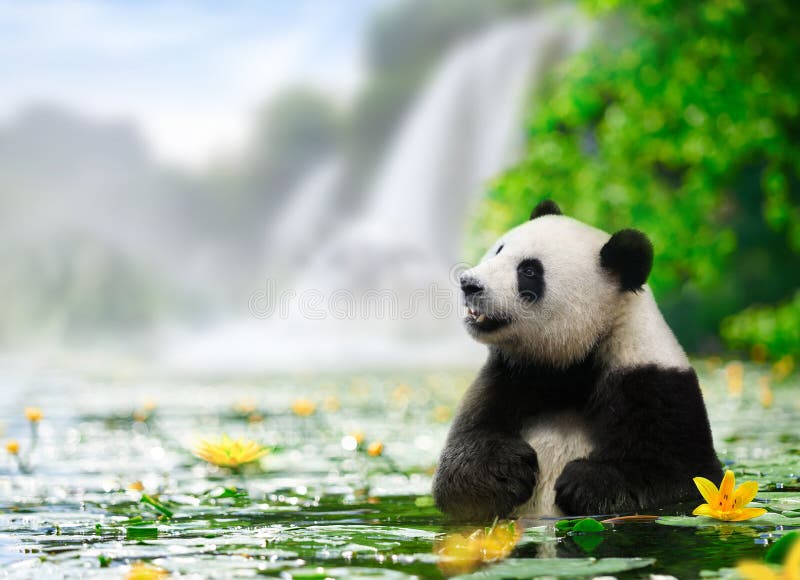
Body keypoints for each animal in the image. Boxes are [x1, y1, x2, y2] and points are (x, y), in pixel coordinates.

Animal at [433, 200, 722, 520]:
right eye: (499, 249)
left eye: (529, 270)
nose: (469, 284)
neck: (572, 366)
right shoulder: (509, 375)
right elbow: (458, 469)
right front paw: (508, 469)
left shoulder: (656, 385)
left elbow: (681, 475)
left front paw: (584, 483)